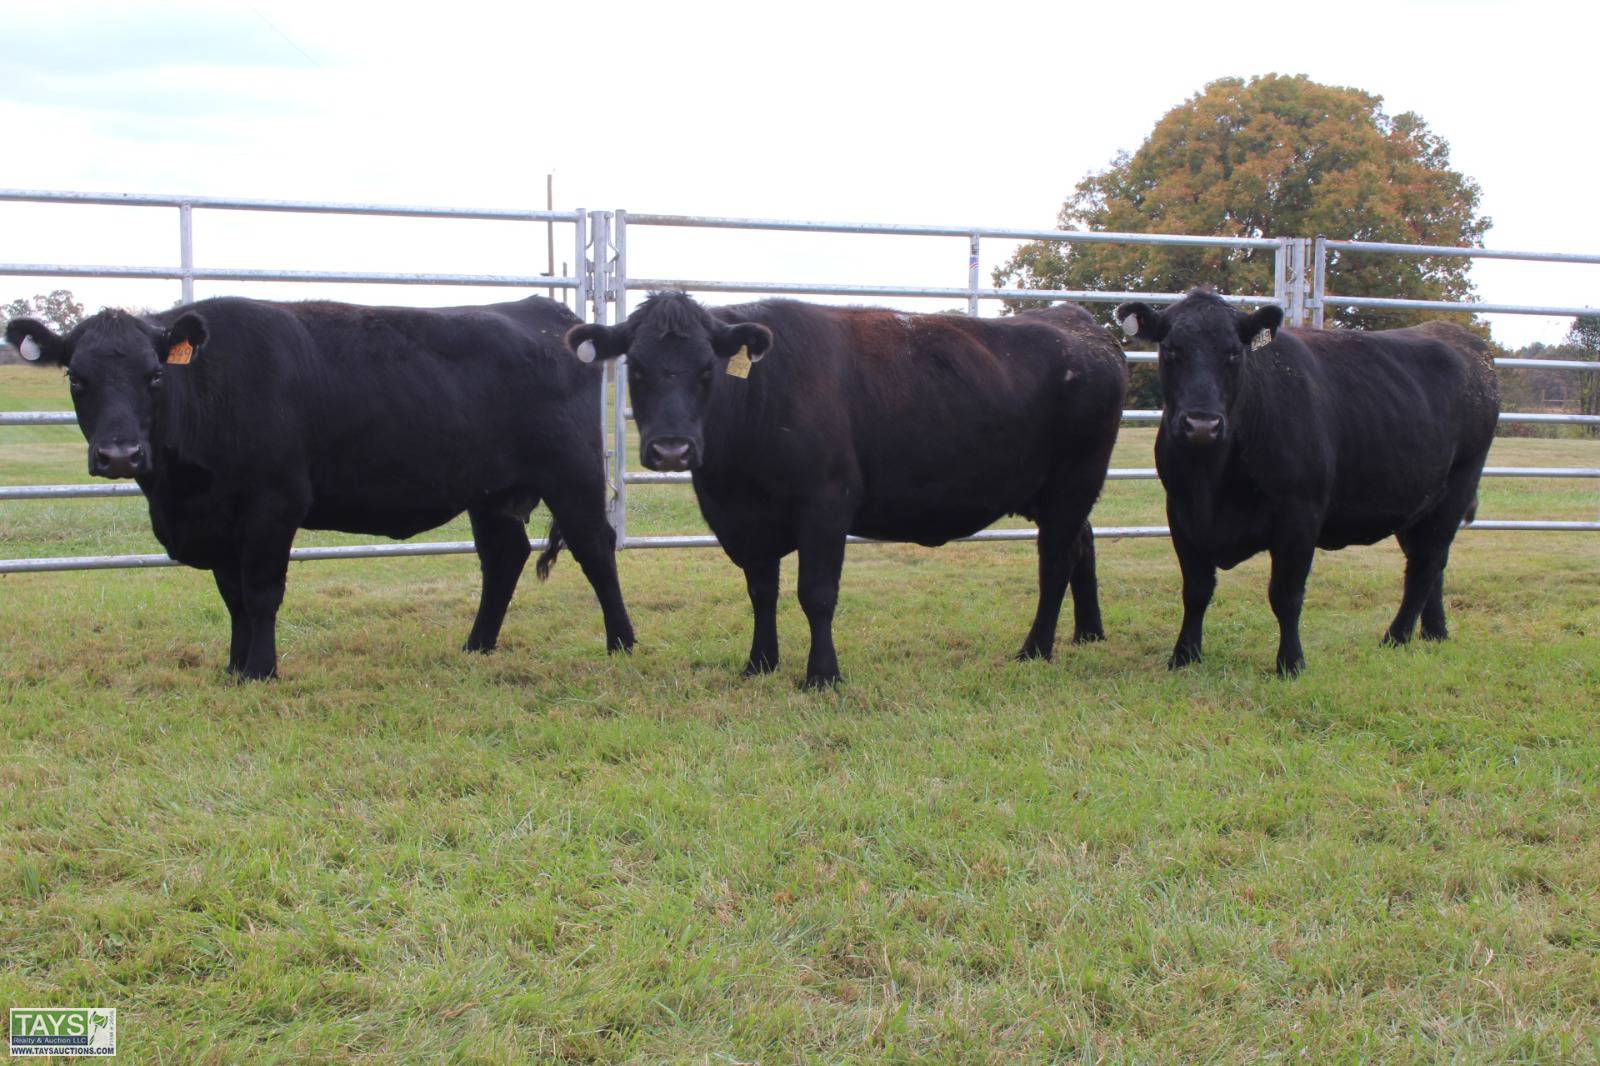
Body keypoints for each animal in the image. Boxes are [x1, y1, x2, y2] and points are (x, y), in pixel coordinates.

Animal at [6, 295, 634, 679]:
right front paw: (234, 668)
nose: (119, 454)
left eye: (154, 375)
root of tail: (543, 311)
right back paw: (476, 646)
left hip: (572, 472)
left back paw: (622, 644)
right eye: (76, 377)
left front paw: (261, 671)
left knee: (595, 548)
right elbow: (233, 598)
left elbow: (261, 593)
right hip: (491, 494)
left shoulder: (272, 504)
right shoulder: (220, 521)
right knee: (502, 559)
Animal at [565, 292, 1127, 688]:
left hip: (1074, 482)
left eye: (708, 369)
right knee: (1083, 545)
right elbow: (761, 591)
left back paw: (1035, 649)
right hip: (1061, 494)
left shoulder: (826, 504)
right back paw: (1088, 633)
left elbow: (816, 593)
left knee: (1055, 561)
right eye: (636, 368)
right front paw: (760, 664)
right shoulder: (747, 519)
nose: (672, 450)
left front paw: (822, 675)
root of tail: (1078, 322)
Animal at [1113, 290, 1499, 677]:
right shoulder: (1181, 513)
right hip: (1419, 504)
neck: (1212, 480)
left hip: (1456, 488)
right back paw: (1434, 632)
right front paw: (1184, 656)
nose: (1202, 424)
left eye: (1234, 352)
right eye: (1170, 350)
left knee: (1424, 566)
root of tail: (1461, 337)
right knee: (1432, 562)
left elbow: (1285, 595)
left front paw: (1291, 663)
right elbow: (1196, 590)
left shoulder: (1300, 514)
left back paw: (1397, 637)